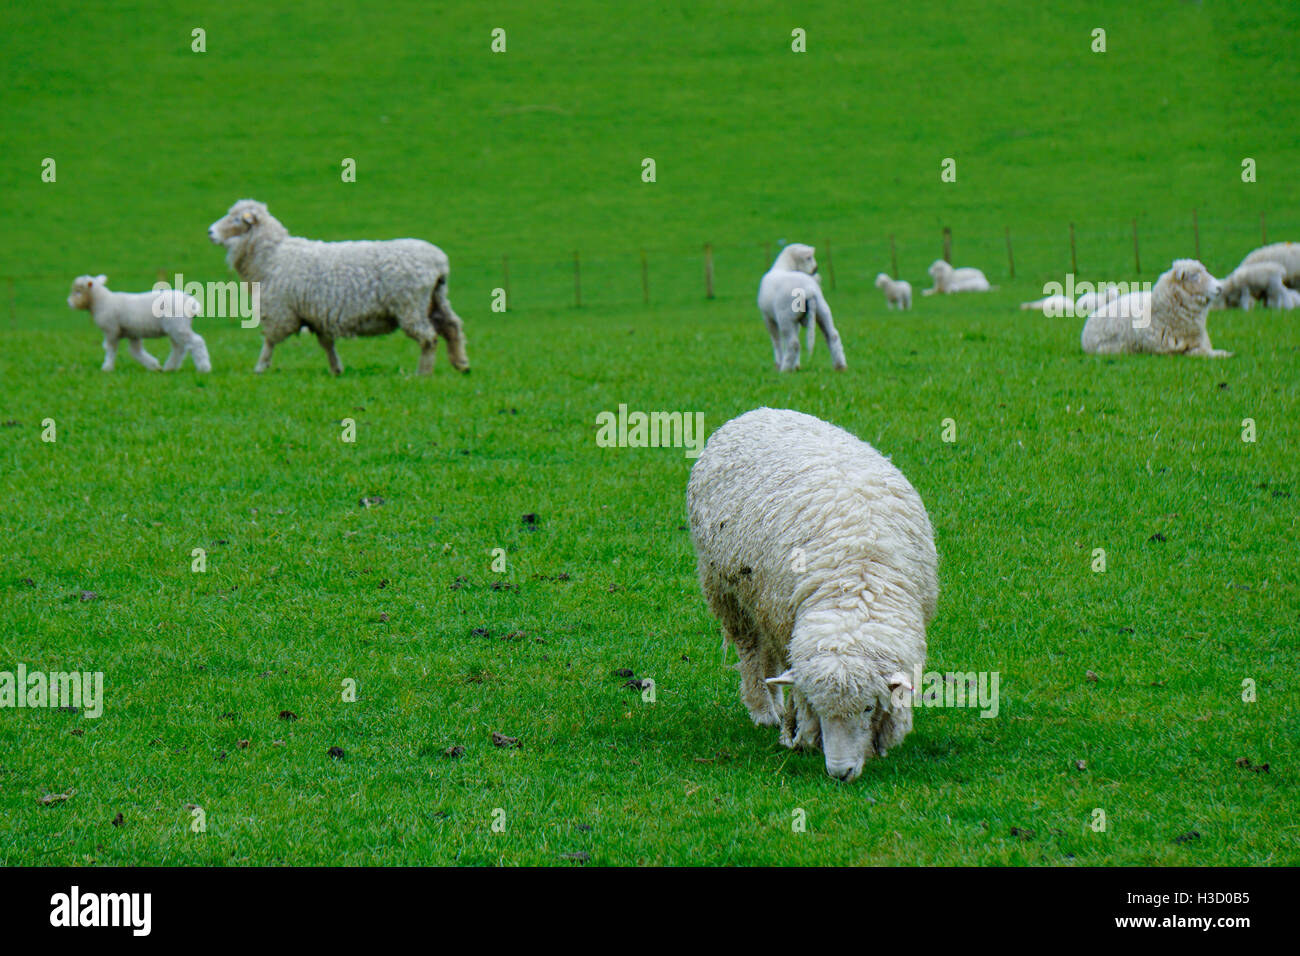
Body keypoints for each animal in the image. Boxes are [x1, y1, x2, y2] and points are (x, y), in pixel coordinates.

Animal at [66, 275, 210, 373]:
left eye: (78, 291)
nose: (69, 303)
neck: (101, 301)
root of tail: (192, 302)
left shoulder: (111, 330)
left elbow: (110, 349)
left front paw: (107, 367)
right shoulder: (133, 333)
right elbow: (136, 352)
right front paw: (153, 365)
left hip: (177, 326)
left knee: (196, 342)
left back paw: (204, 368)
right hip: (175, 328)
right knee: (179, 348)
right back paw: (169, 368)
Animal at [207, 199, 469, 375]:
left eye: (236, 219)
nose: (210, 232)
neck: (271, 256)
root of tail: (438, 261)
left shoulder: (281, 311)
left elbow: (270, 341)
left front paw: (260, 367)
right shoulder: (316, 315)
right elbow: (327, 344)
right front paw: (336, 369)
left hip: (410, 305)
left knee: (429, 338)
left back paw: (423, 373)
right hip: (436, 299)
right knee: (452, 327)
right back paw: (461, 364)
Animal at [687, 407, 938, 782]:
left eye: (868, 707)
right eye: (820, 709)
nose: (841, 772)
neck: (856, 582)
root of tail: (758, 411)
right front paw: (795, 733)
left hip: (763, 599)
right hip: (726, 587)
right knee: (750, 648)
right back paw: (764, 709)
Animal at [1081, 258, 1229, 357]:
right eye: (1194, 276)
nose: (1220, 288)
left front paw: (1224, 353)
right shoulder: (1172, 350)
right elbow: (1201, 353)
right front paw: (1225, 355)